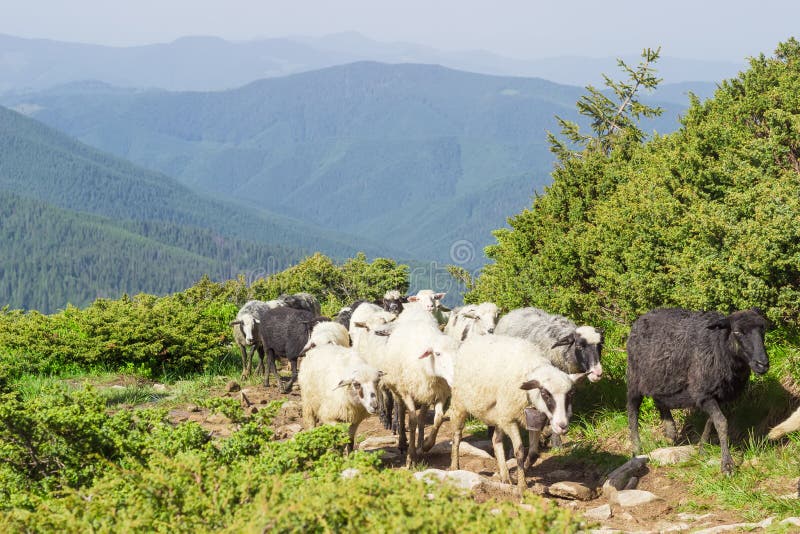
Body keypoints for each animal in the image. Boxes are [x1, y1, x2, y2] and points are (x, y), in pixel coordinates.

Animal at [447, 334, 585, 493]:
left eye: (571, 394)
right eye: (545, 393)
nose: (562, 426)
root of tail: (475, 338)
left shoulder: (533, 419)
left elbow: (533, 452)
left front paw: (526, 467)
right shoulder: (510, 419)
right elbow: (519, 450)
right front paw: (522, 484)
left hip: (499, 413)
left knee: (496, 440)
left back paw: (505, 477)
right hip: (460, 403)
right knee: (457, 436)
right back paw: (454, 467)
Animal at [626, 307, 769, 474]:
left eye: (763, 328)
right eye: (737, 331)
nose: (763, 364)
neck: (719, 347)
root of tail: (642, 317)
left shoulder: (717, 394)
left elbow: (711, 422)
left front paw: (702, 449)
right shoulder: (703, 392)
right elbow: (721, 422)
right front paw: (727, 465)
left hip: (661, 377)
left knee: (659, 400)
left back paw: (670, 432)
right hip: (634, 377)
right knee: (632, 409)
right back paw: (637, 448)